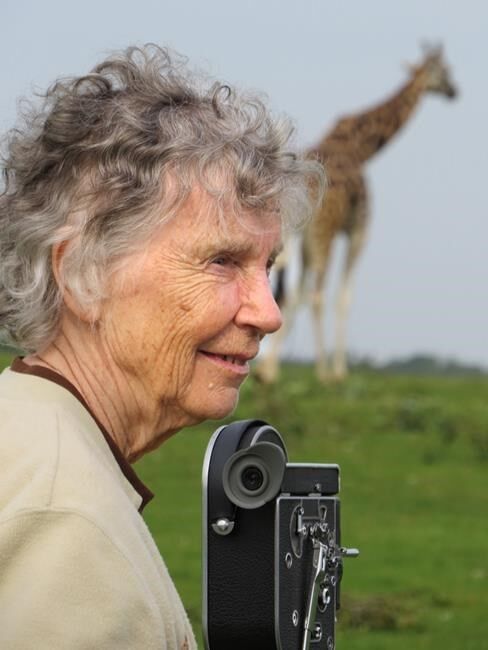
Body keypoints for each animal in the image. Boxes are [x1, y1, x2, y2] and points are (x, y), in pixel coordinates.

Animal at [257, 45, 457, 383]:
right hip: (320, 234)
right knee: (315, 295)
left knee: (288, 294)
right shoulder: (357, 228)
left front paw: (270, 369)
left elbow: (293, 297)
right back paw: (323, 372)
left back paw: (269, 371)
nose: (455, 91)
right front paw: (340, 371)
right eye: (444, 71)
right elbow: (344, 297)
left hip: (294, 239)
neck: (362, 148)